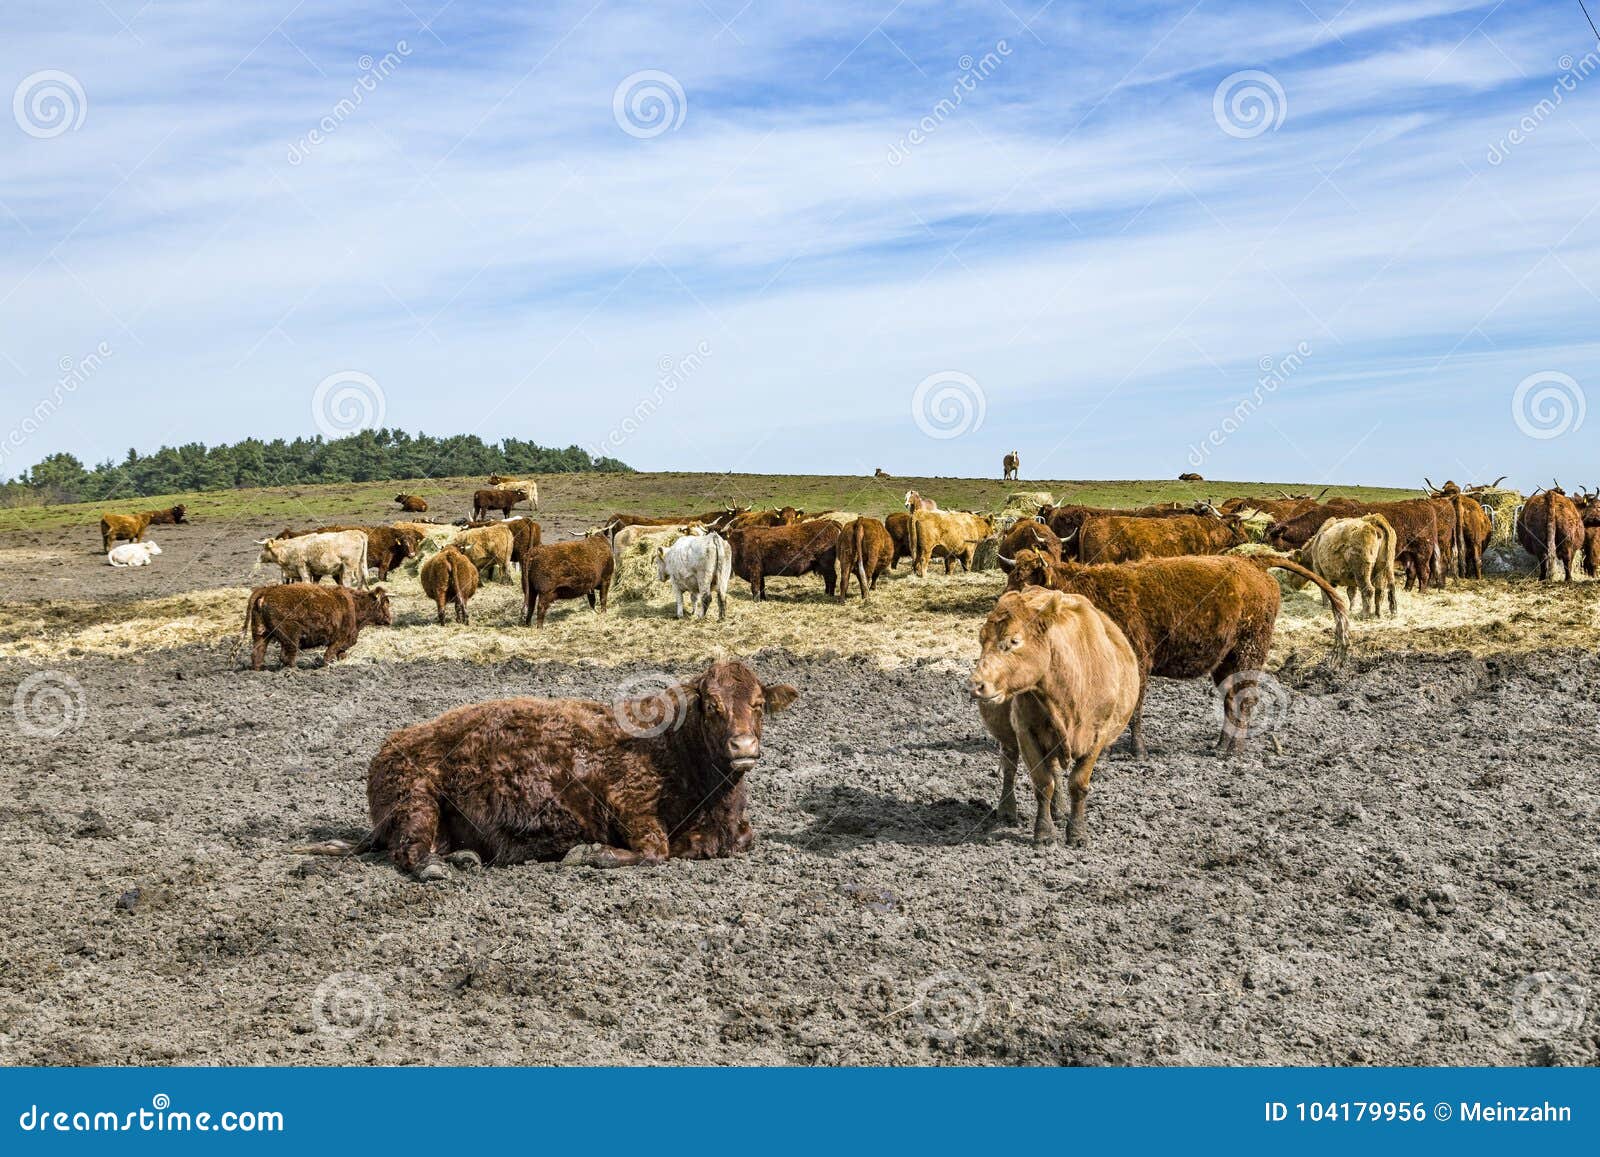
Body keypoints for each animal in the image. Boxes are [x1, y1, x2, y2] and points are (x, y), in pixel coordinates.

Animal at [244, 583, 391, 670]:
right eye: (385, 603)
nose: (390, 619)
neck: (355, 605)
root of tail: (267, 590)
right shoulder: (339, 639)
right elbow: (328, 655)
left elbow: (341, 654)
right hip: (291, 636)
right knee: (288, 655)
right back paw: (294, 670)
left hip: (261, 633)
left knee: (258, 653)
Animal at [297, 660, 798, 879]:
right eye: (712, 705)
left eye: (759, 704)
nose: (743, 746)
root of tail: (392, 744)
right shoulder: (629, 803)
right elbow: (655, 850)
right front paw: (590, 853)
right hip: (417, 800)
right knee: (408, 852)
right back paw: (440, 867)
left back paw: (463, 857)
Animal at [970, 587, 1140, 846]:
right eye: (982, 640)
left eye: (1013, 641)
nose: (977, 684)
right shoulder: (1025, 731)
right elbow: (1042, 783)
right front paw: (1044, 833)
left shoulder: (1099, 734)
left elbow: (1077, 784)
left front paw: (1077, 833)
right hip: (1008, 735)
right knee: (1010, 765)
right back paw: (1008, 810)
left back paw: (1058, 810)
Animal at [999, 549, 1348, 756]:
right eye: (1010, 579)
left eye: (1028, 587)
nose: (1001, 612)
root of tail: (1253, 561)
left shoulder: (1138, 663)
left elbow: (1134, 708)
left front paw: (1137, 750)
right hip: (1225, 660)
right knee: (1230, 699)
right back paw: (1219, 746)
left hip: (1249, 651)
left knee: (1245, 698)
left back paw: (1232, 752)